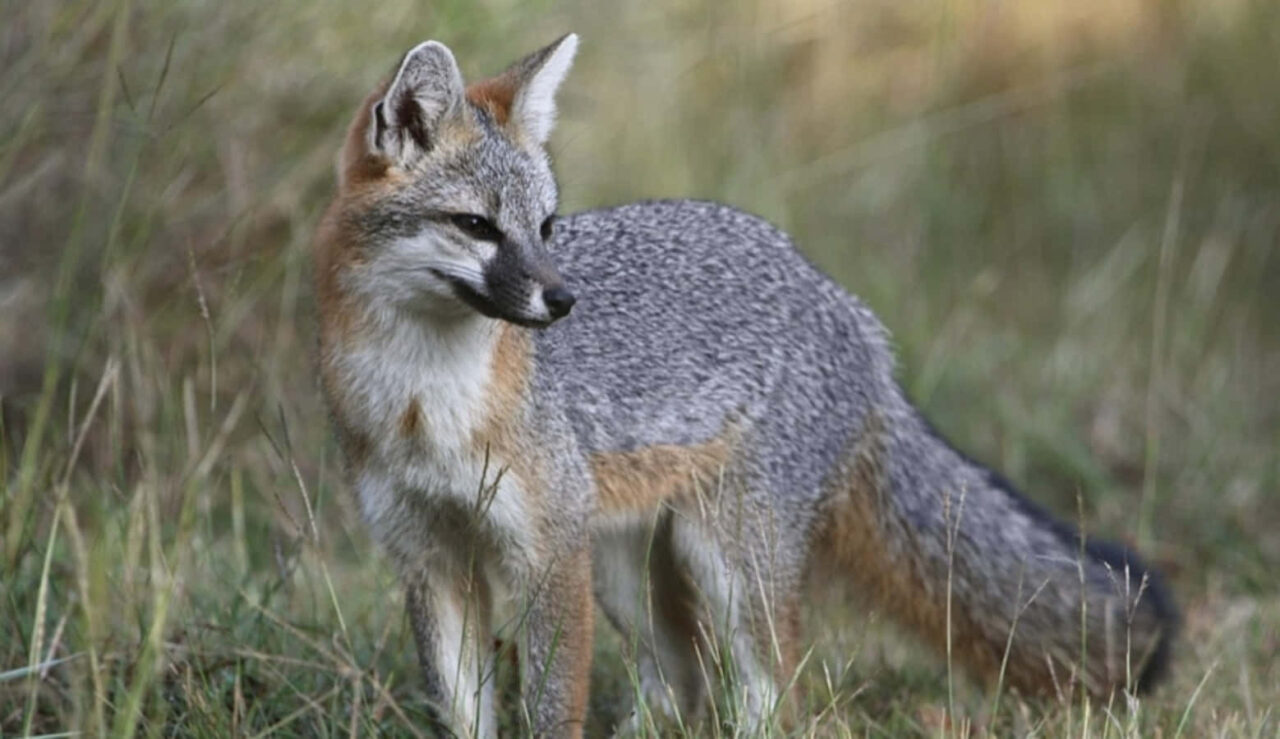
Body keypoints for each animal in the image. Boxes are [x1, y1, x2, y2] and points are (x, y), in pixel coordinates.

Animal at [313, 34, 1177, 737]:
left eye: (547, 226)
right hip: (627, 571)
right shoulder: (429, 557)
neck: (425, 402)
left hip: (725, 563)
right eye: (477, 227)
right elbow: (460, 709)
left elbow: (555, 706)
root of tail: (846, 308)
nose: (563, 300)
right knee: (682, 683)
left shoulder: (546, 553)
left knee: (772, 691)